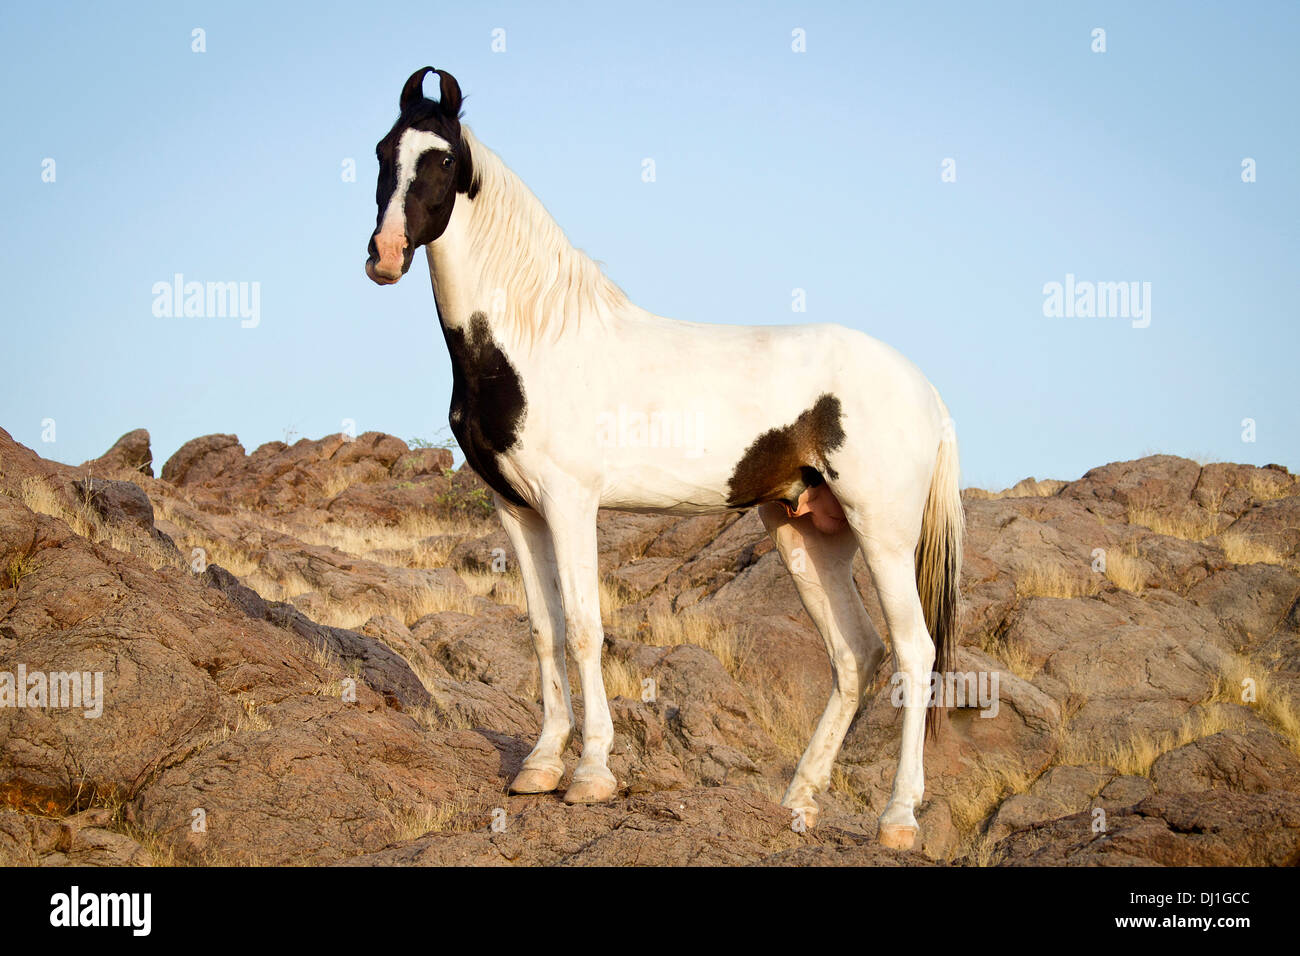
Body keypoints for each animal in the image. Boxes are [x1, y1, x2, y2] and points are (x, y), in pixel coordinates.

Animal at [365, 67, 964, 850]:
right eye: (382, 152)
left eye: (441, 158)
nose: (383, 255)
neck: (532, 341)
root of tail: (925, 388)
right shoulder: (516, 508)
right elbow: (543, 630)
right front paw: (539, 766)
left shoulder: (571, 502)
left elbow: (585, 628)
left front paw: (591, 775)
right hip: (807, 530)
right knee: (855, 654)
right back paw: (798, 803)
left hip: (883, 533)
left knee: (916, 653)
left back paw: (897, 819)